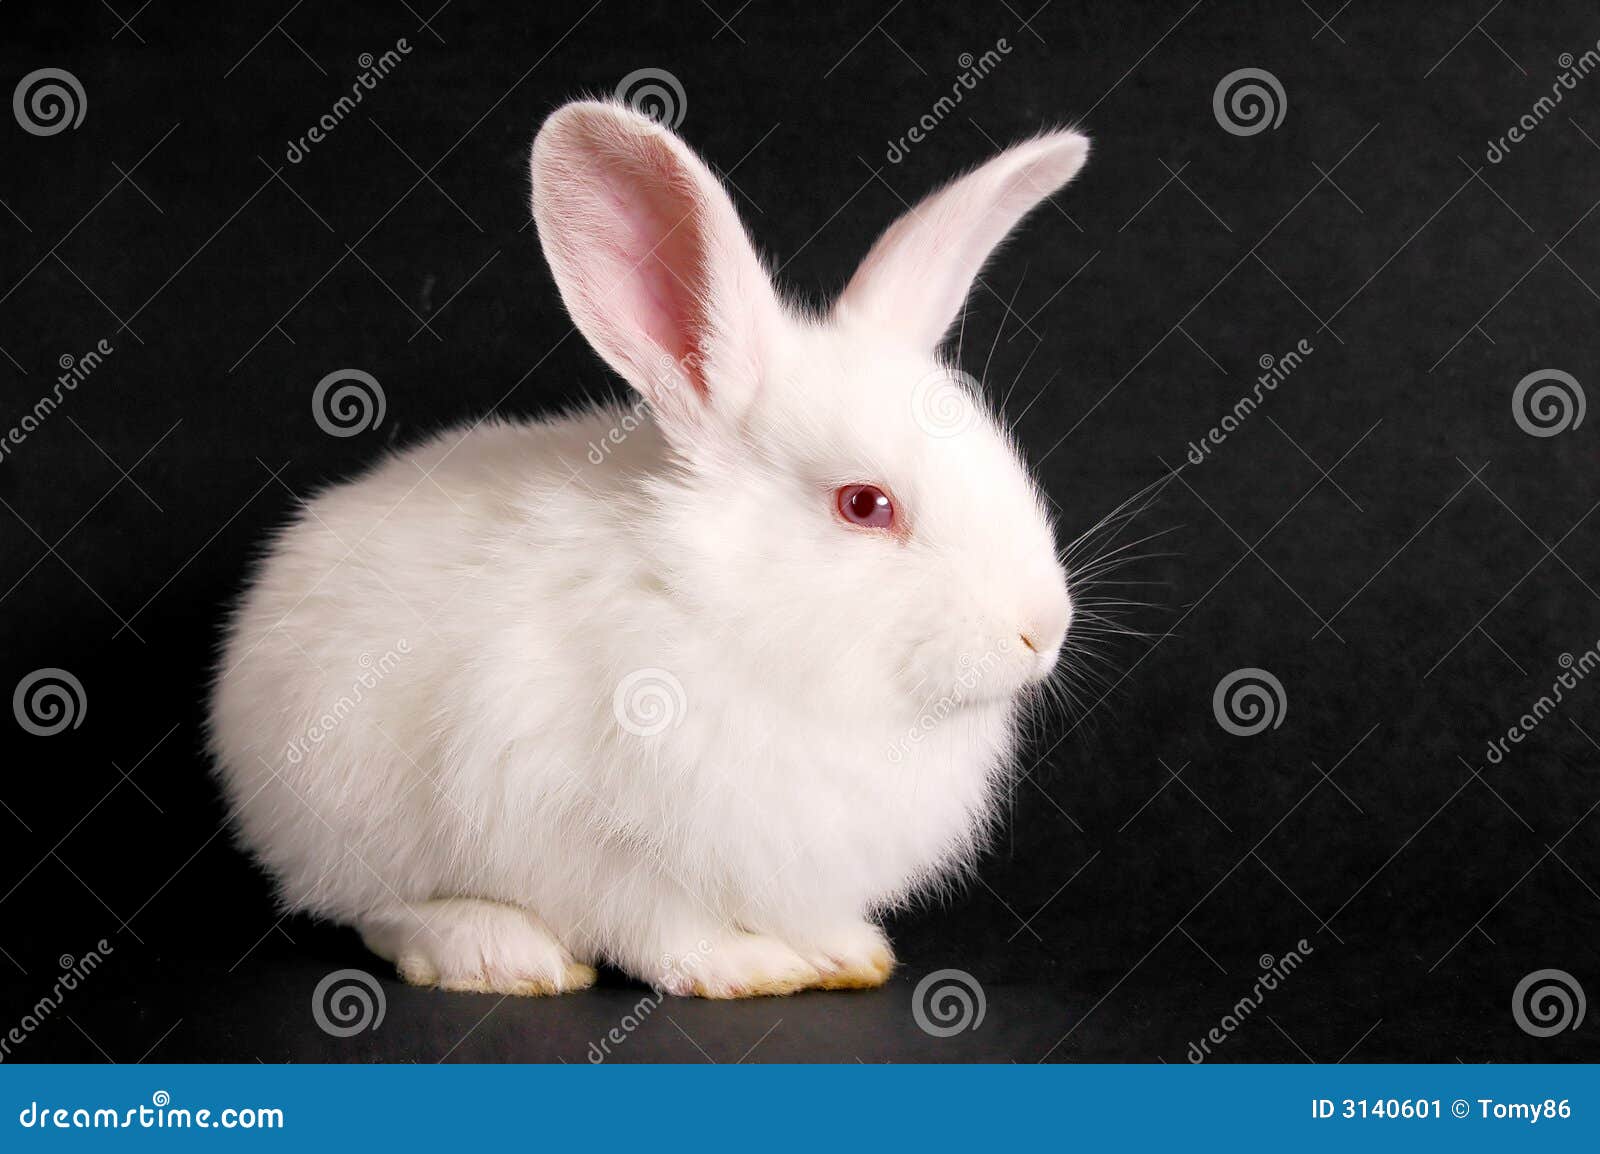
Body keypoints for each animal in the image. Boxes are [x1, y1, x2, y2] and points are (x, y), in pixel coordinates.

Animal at [208, 99, 1088, 998]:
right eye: (865, 505)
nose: (1041, 632)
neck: (720, 609)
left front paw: (845, 951)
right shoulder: (596, 838)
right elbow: (662, 930)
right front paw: (749, 966)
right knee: (380, 913)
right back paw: (497, 950)